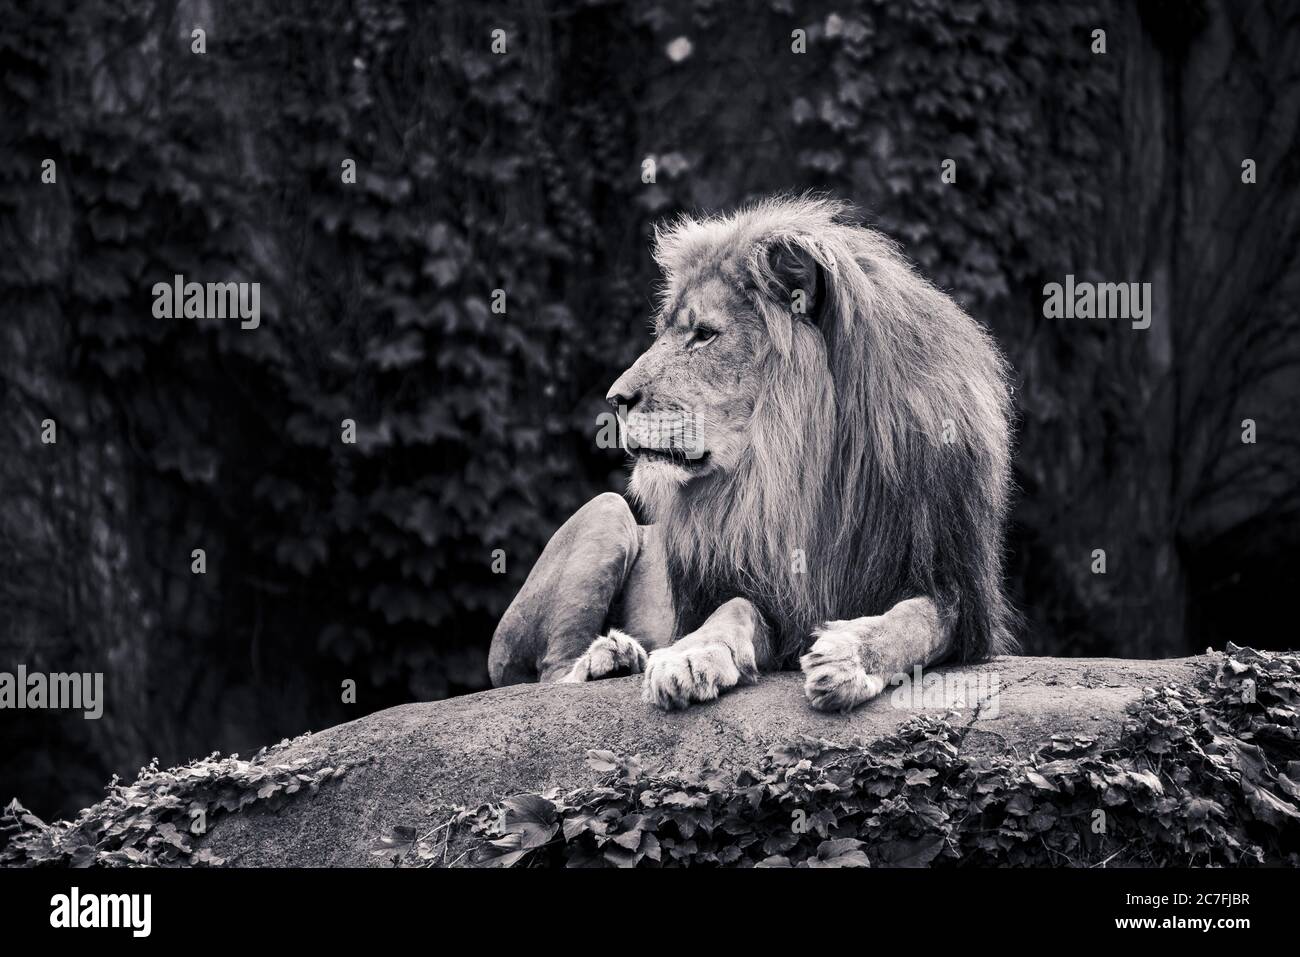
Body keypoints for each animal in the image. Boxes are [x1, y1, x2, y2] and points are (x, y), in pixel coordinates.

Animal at [488, 195, 1016, 711]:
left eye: (703, 334)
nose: (615, 398)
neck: (810, 469)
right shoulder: (761, 593)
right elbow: (732, 609)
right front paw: (690, 656)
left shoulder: (958, 595)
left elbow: (918, 619)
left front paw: (851, 656)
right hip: (607, 513)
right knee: (551, 673)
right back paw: (610, 658)